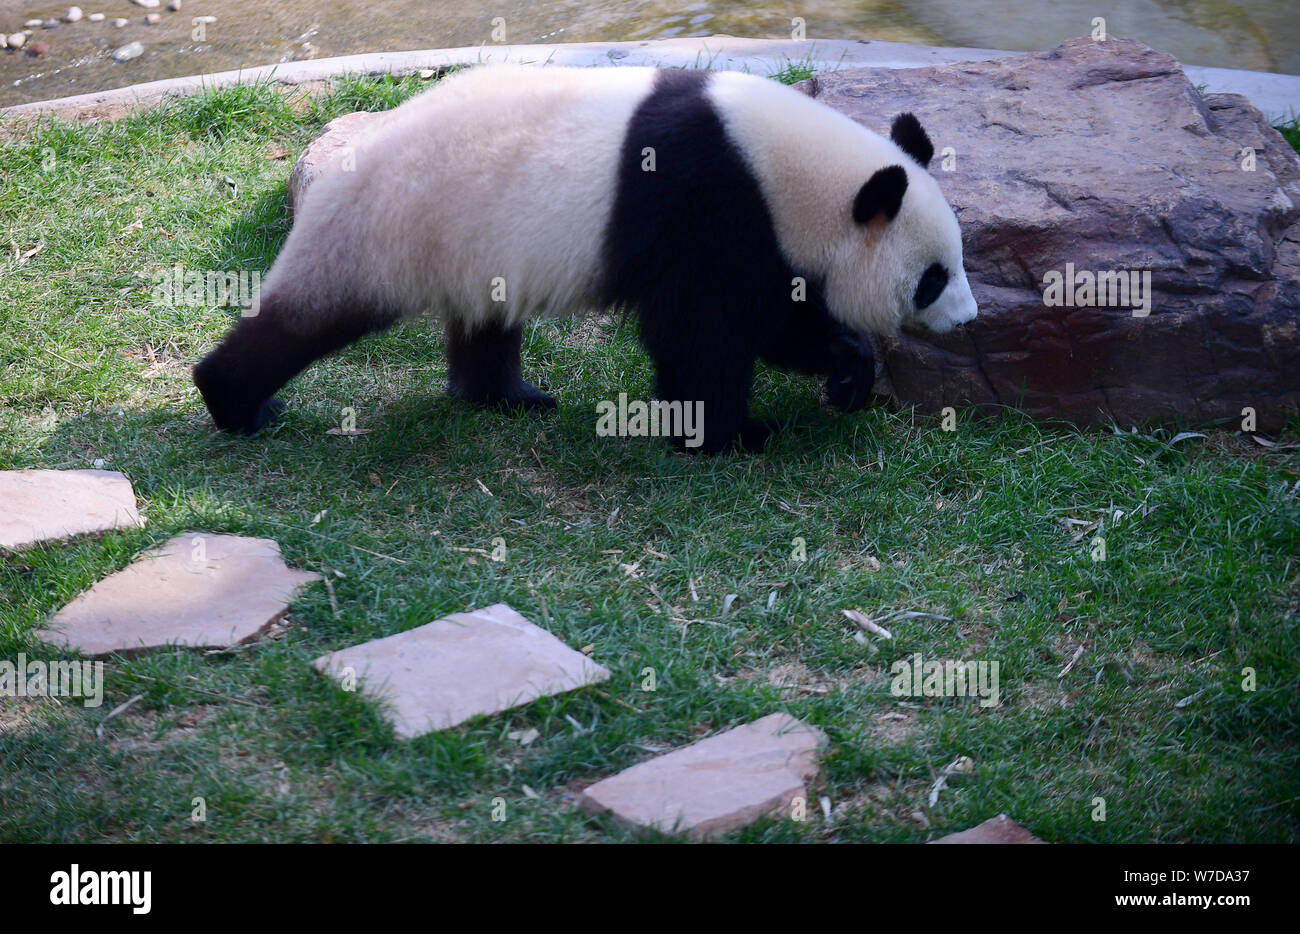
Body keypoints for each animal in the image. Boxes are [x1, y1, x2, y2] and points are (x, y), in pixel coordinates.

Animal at [192, 65, 977, 453]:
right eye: (933, 277)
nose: (969, 319)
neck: (783, 168)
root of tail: (338, 169)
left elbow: (776, 321)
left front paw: (847, 375)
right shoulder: (707, 203)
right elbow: (709, 331)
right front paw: (731, 435)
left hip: (474, 245)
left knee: (485, 320)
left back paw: (507, 397)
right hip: (392, 228)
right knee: (309, 317)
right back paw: (236, 403)